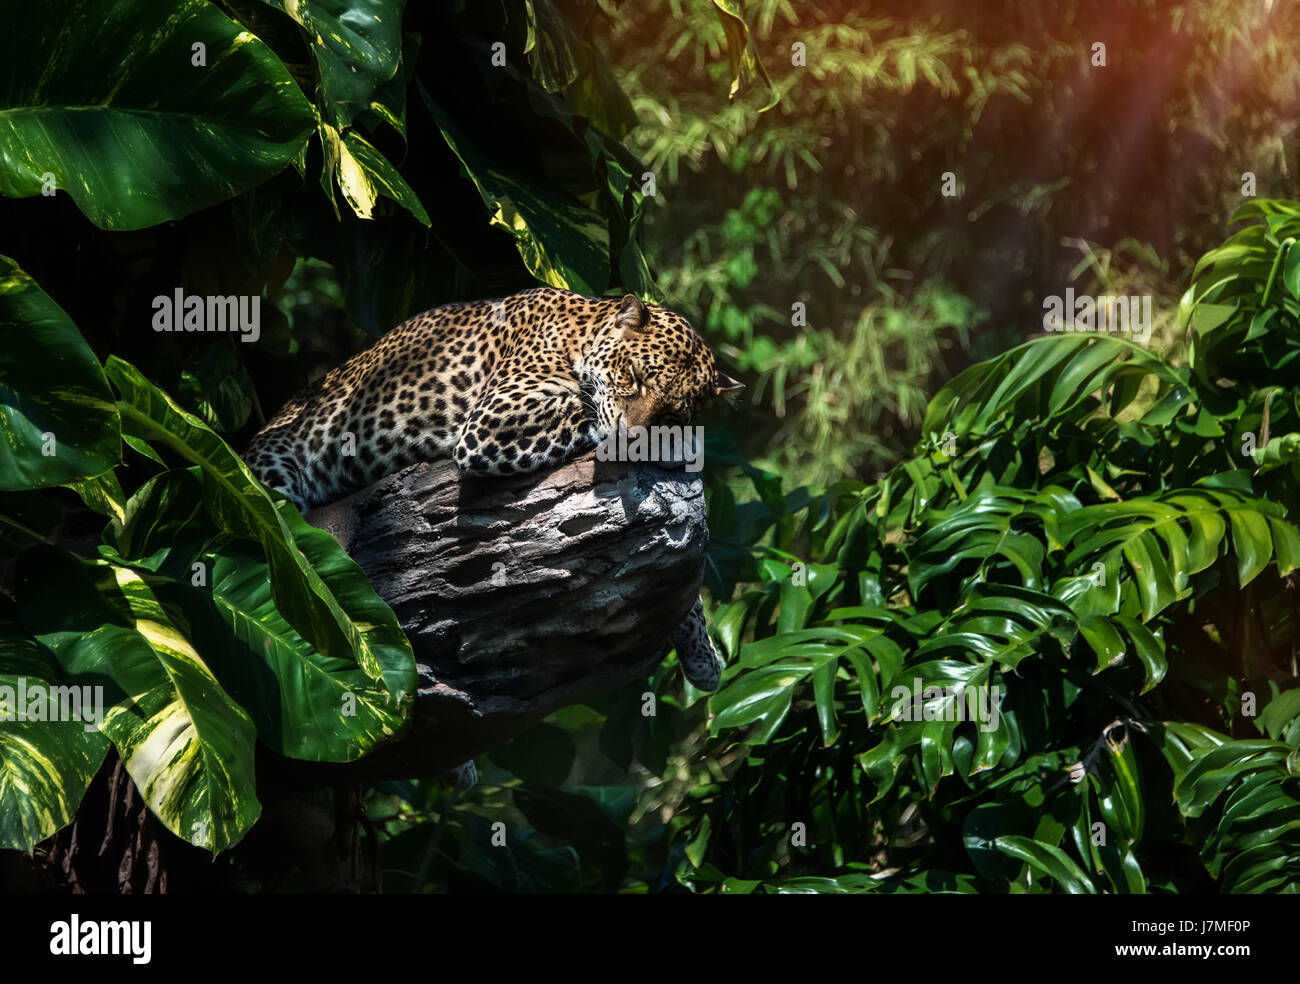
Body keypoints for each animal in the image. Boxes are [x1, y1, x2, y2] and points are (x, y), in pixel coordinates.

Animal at [244, 286, 742, 786]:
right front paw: (677, 446)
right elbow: (582, 412)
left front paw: (704, 658)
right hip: (270, 483)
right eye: (634, 377)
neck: (581, 332)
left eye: (673, 412)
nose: (632, 436)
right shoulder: (494, 420)